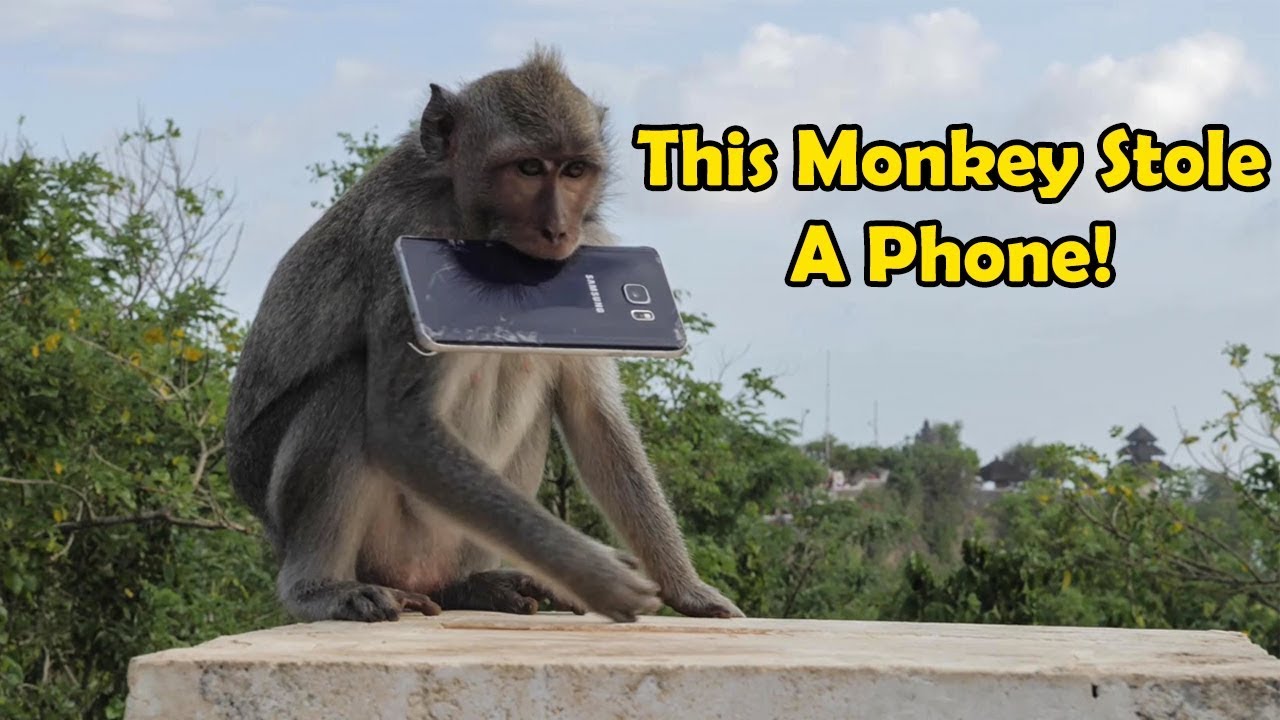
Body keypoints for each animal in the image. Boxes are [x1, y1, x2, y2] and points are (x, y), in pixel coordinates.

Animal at [224, 45, 745, 624]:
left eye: (574, 170)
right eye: (528, 168)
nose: (558, 229)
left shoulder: (588, 244)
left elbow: (591, 415)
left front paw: (686, 588)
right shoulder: (402, 245)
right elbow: (400, 425)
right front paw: (598, 576)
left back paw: (472, 586)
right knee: (347, 391)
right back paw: (320, 587)